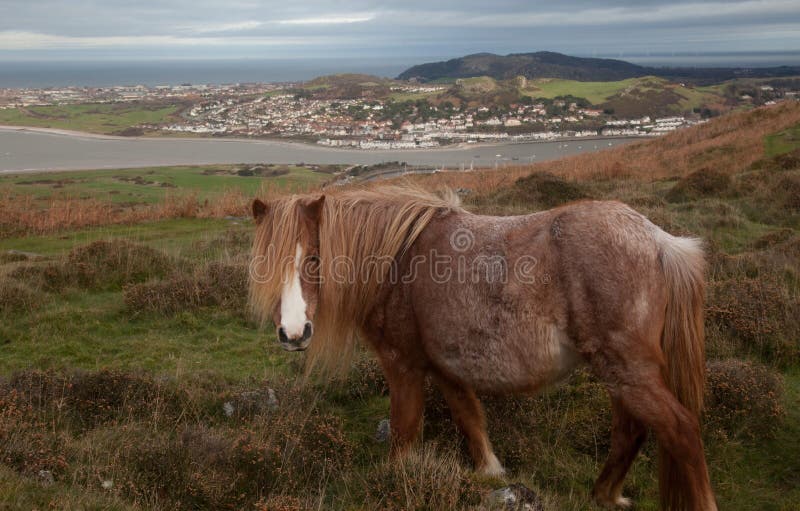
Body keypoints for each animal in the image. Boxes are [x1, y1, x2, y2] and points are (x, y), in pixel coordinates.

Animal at [248, 185, 717, 511]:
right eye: (265, 263)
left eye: (313, 259)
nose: (294, 333)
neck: (396, 263)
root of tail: (660, 241)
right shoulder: (445, 367)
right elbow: (470, 418)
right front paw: (492, 472)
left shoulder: (403, 366)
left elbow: (404, 431)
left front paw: (398, 481)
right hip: (620, 372)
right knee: (630, 430)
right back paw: (605, 495)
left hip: (627, 368)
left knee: (680, 430)